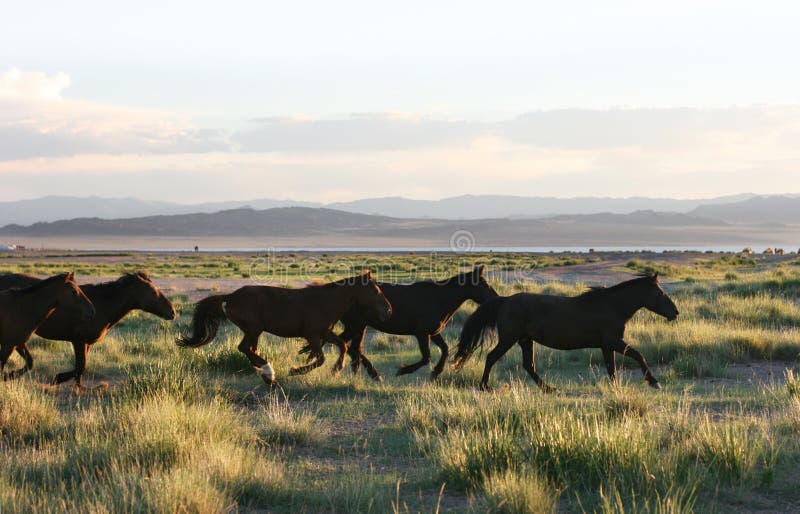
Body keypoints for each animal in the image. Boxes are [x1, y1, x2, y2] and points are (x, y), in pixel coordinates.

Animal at [0, 271, 176, 388]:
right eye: (153, 291)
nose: (173, 311)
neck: (102, 304)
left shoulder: (87, 343)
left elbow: (81, 368)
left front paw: (78, 387)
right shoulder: (78, 340)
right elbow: (81, 366)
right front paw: (58, 378)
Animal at [176, 271, 392, 386]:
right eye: (376, 290)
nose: (389, 310)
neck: (324, 302)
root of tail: (229, 297)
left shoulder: (325, 333)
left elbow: (343, 346)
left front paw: (336, 369)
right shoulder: (313, 336)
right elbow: (320, 359)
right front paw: (296, 370)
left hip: (254, 331)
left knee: (250, 349)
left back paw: (267, 376)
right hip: (254, 329)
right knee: (244, 348)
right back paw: (269, 372)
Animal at [297, 265, 497, 380]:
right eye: (485, 284)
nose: (495, 298)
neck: (439, 298)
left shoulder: (433, 333)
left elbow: (445, 349)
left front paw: (436, 372)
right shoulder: (422, 334)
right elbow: (426, 357)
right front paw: (403, 370)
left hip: (358, 327)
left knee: (353, 348)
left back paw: (365, 372)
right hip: (356, 326)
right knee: (350, 347)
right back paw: (371, 373)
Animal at [452, 273, 679, 391]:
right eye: (660, 293)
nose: (675, 312)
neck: (613, 306)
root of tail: (505, 300)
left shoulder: (606, 345)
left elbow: (612, 369)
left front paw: (616, 389)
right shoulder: (613, 342)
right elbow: (638, 356)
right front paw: (654, 381)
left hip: (526, 340)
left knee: (529, 365)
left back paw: (549, 389)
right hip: (509, 339)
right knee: (492, 358)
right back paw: (484, 386)